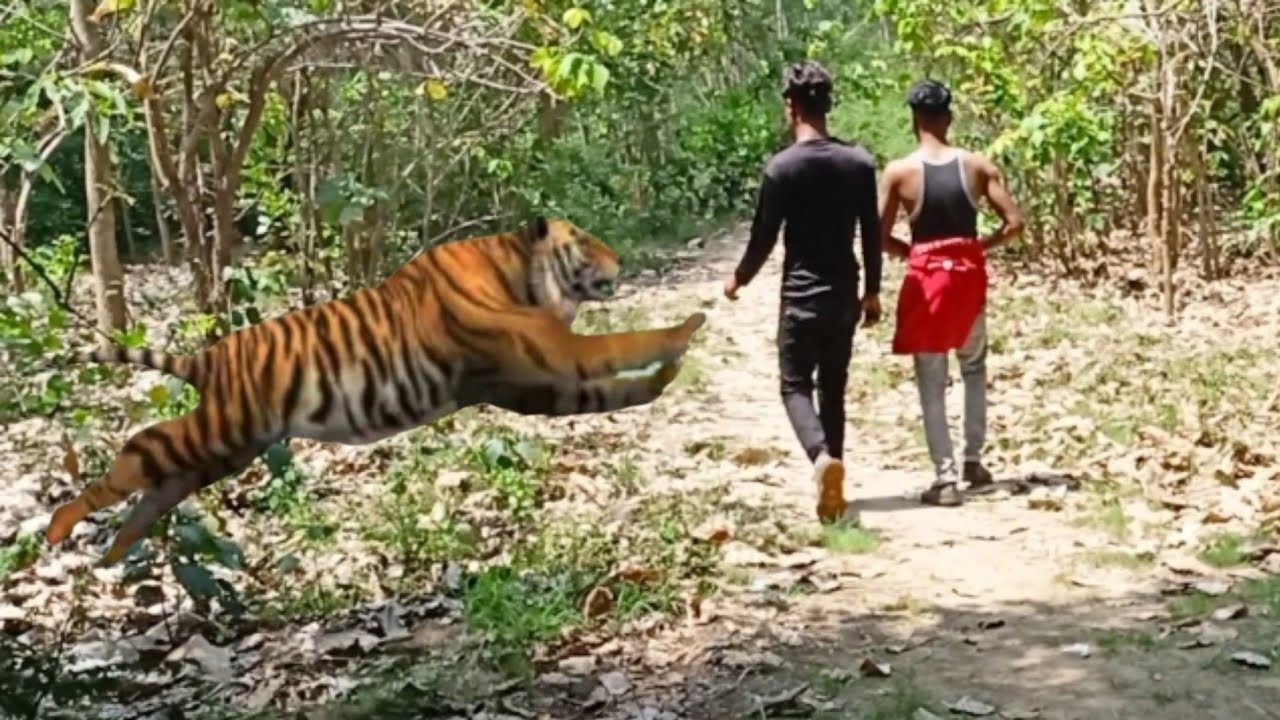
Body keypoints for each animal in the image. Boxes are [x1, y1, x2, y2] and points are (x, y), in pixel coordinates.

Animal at [44, 217, 707, 566]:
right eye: (585, 240)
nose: (617, 260)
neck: (521, 271)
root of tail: (206, 356)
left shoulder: (526, 382)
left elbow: (604, 393)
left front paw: (661, 380)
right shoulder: (550, 351)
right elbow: (623, 343)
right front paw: (687, 329)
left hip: (223, 451)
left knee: (156, 487)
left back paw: (113, 552)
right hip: (216, 432)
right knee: (137, 449)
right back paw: (58, 526)